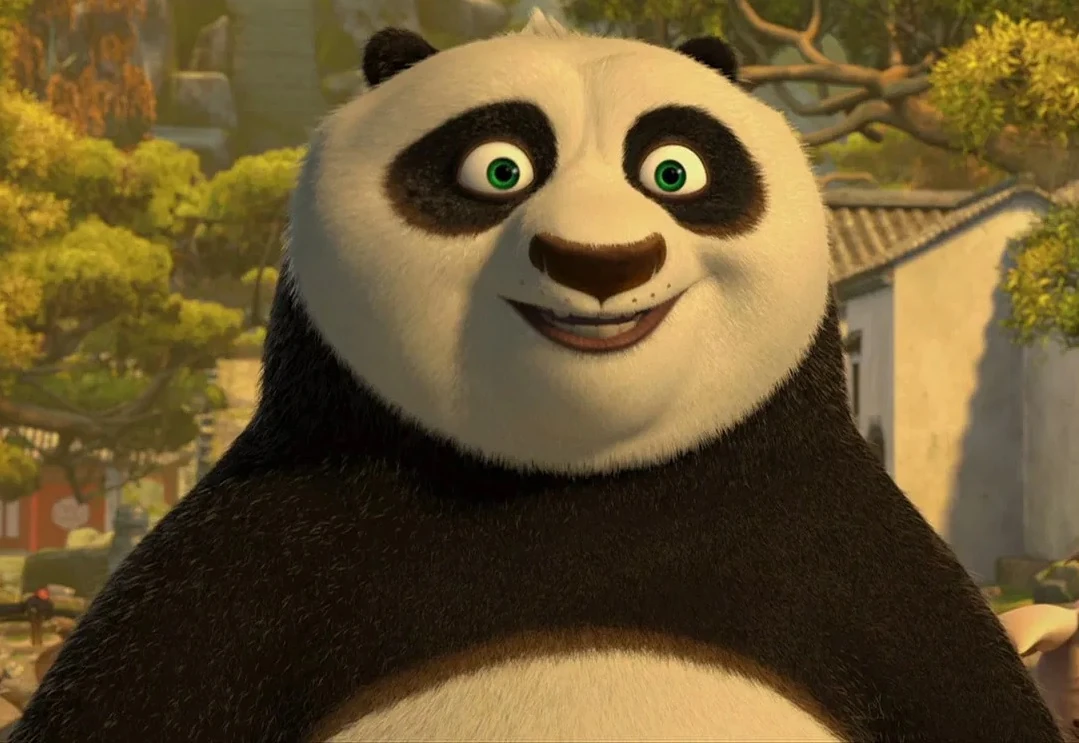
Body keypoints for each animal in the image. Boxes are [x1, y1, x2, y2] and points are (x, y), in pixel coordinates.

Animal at [10, 8, 1063, 743]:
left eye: (672, 171)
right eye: (498, 169)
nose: (603, 261)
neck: (577, 479)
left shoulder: (854, 562)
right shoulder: (250, 558)